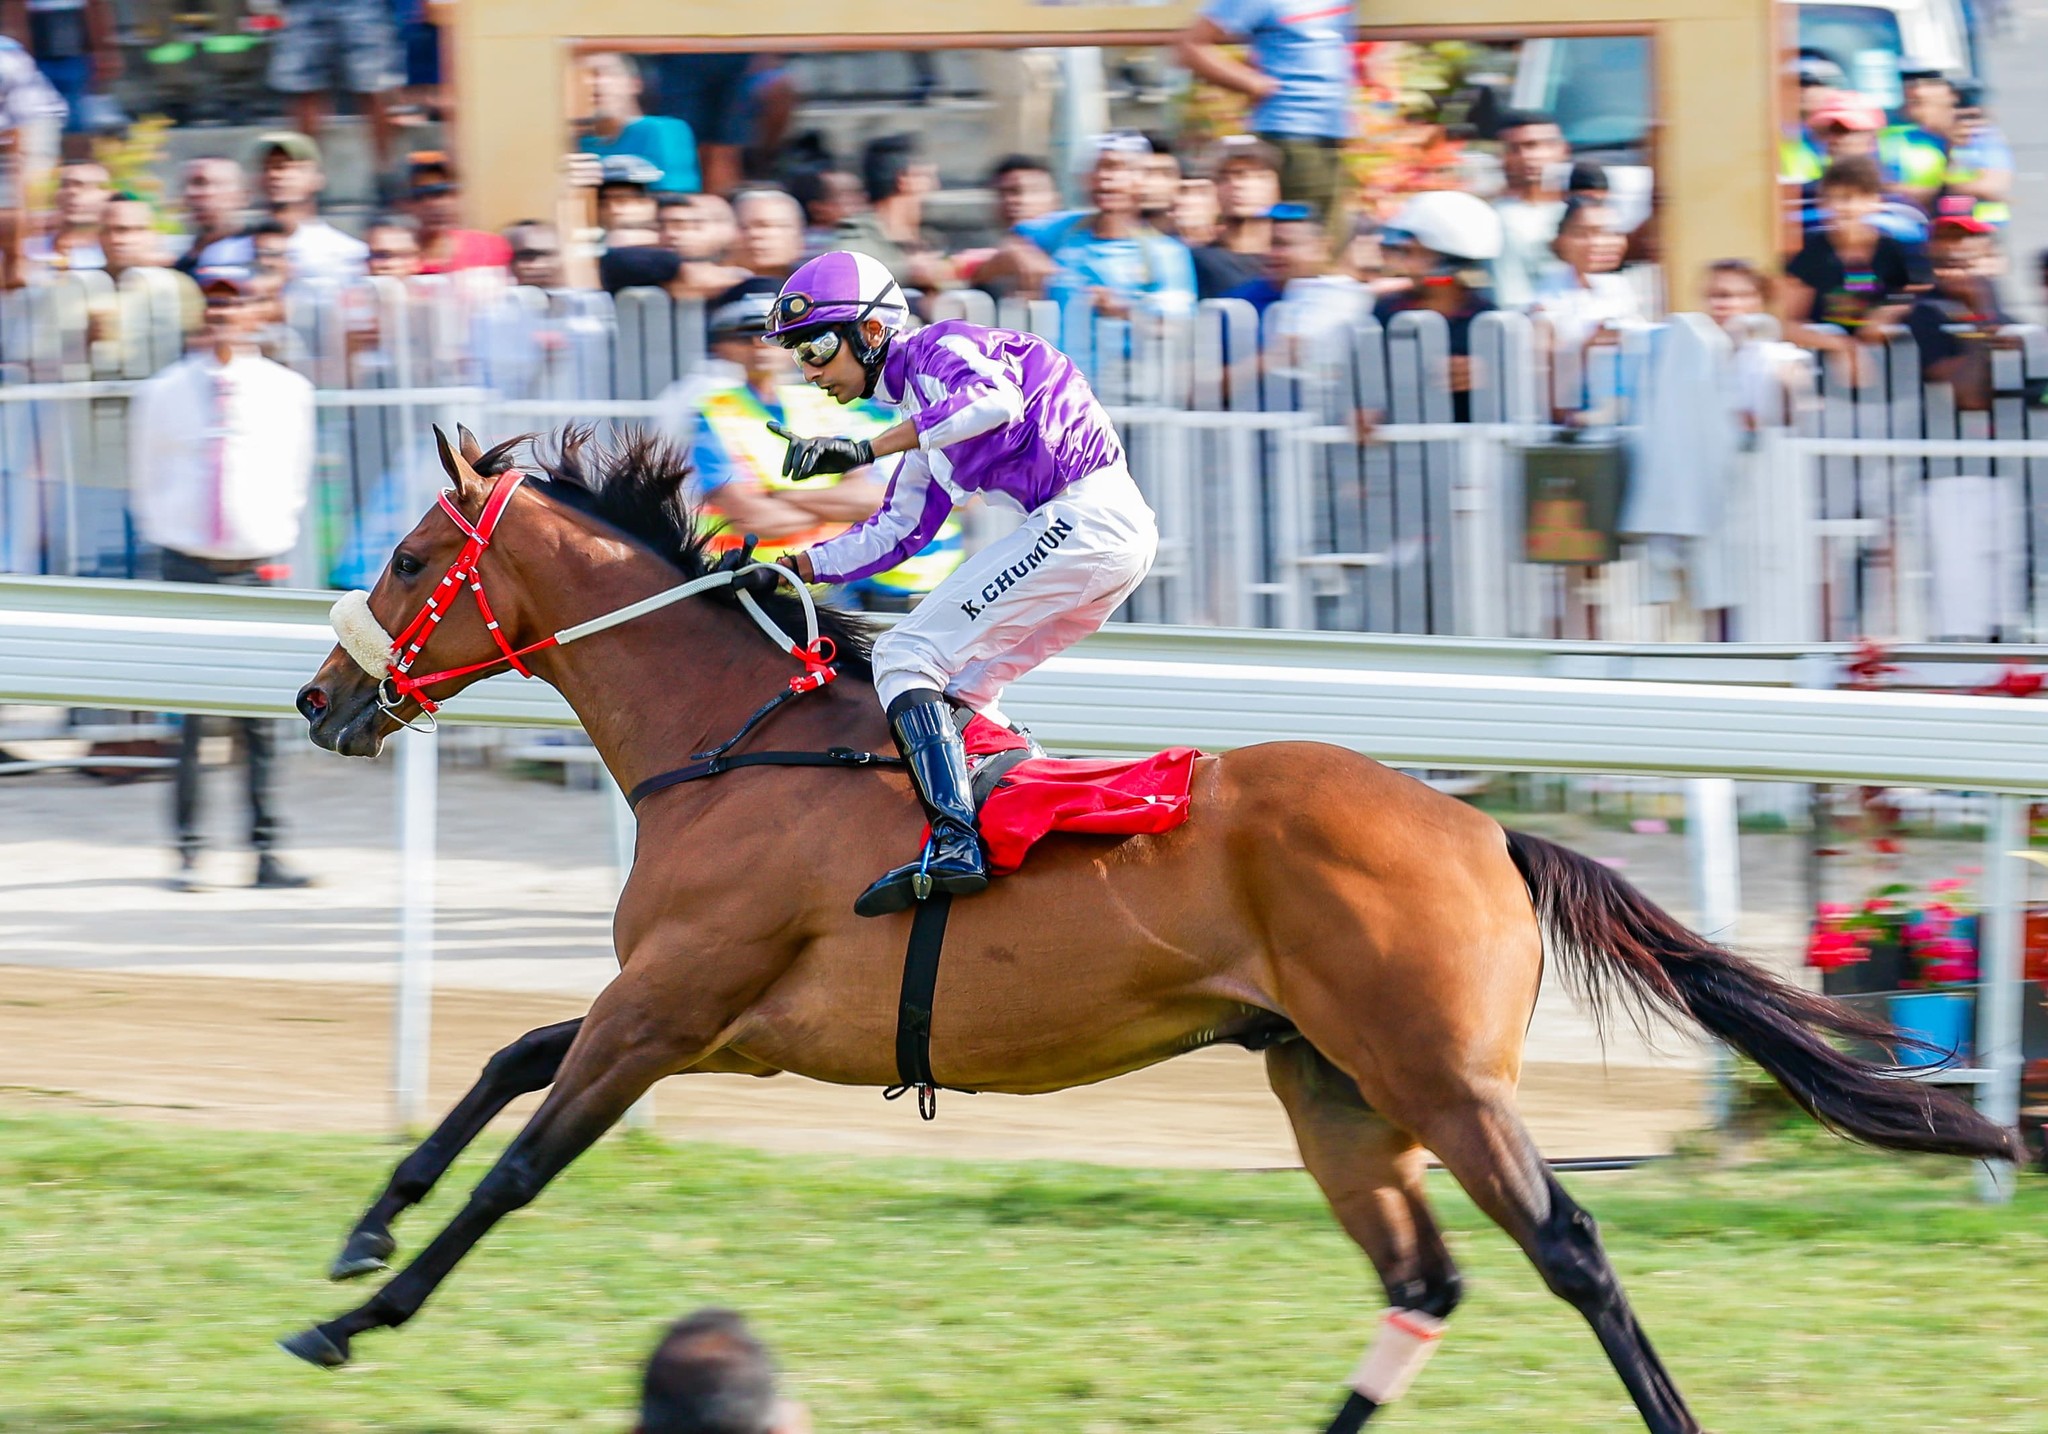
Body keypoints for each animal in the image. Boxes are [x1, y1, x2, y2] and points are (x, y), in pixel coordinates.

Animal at [284, 425, 2017, 1432]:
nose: (317, 699)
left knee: (1570, 1251)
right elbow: (506, 1059)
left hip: (1441, 1081)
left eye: (414, 555)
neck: (737, 740)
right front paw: (363, 1228)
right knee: (1430, 1279)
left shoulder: (669, 1008)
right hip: (1338, 1092)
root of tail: (1485, 829)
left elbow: (520, 1162)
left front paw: (357, 1313)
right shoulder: (698, 1014)